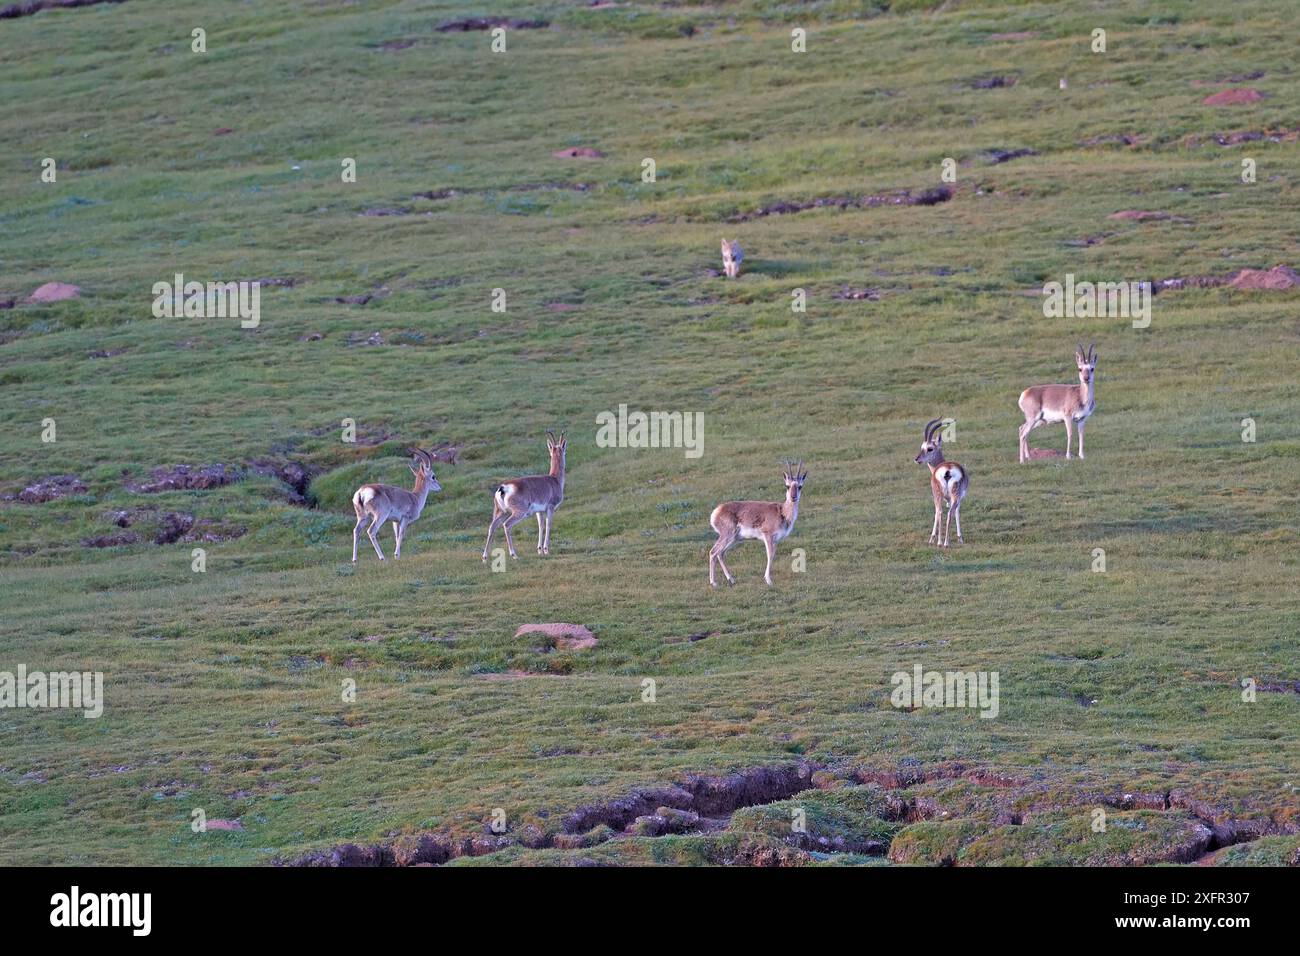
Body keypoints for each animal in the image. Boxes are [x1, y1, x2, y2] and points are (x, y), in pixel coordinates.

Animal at [482, 431, 567, 562]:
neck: (554, 479)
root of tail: (503, 488)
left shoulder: (539, 511)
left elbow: (540, 525)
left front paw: (539, 550)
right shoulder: (550, 508)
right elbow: (548, 525)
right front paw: (546, 550)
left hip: (501, 512)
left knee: (492, 527)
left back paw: (485, 557)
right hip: (518, 513)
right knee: (506, 525)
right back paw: (514, 555)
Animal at [915, 419, 968, 547]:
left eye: (929, 448)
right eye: (922, 447)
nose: (917, 459)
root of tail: (947, 469)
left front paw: (932, 539)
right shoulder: (958, 498)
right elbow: (957, 513)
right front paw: (960, 538)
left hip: (940, 495)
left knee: (940, 511)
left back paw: (940, 542)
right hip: (950, 495)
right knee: (947, 512)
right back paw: (944, 542)